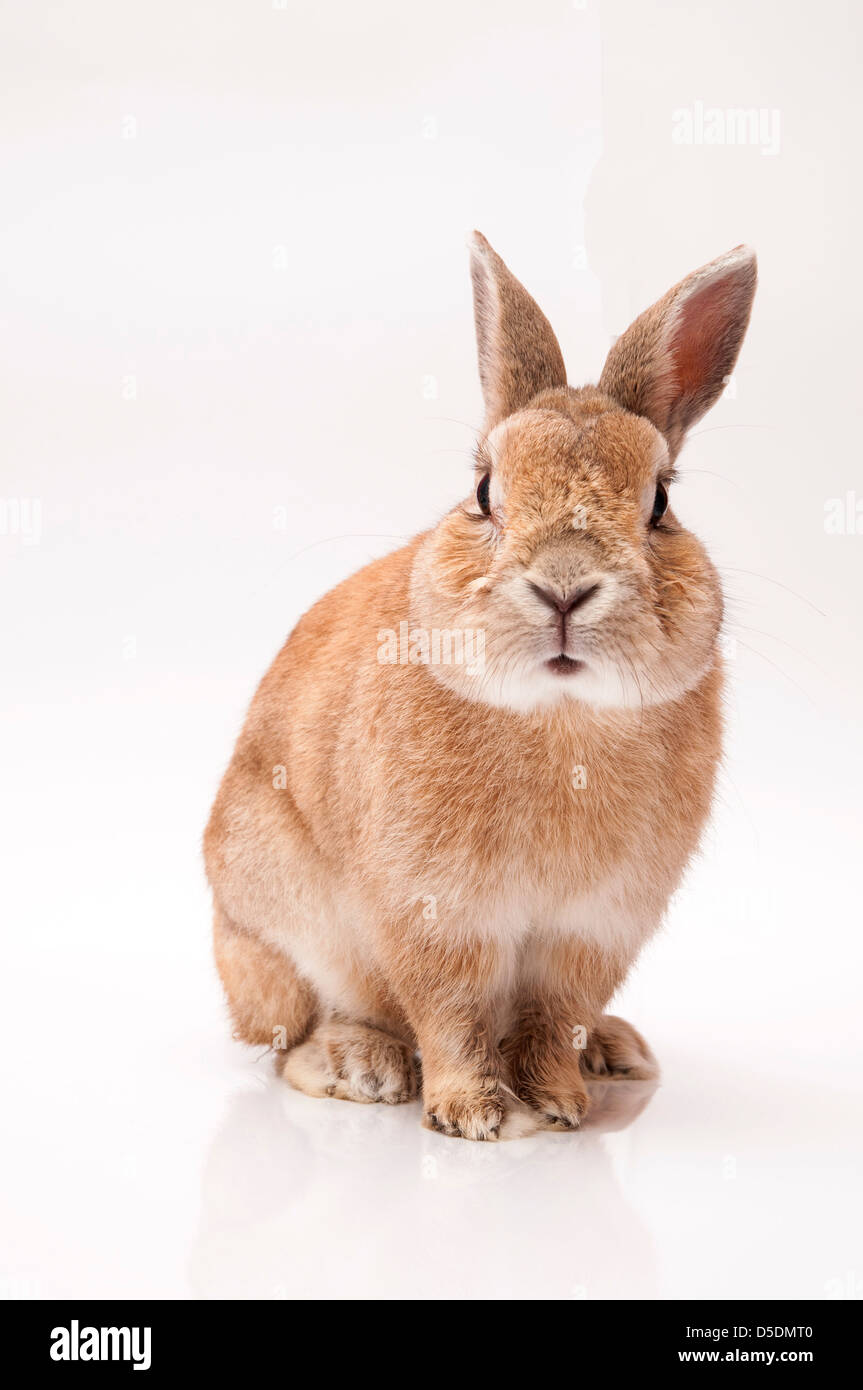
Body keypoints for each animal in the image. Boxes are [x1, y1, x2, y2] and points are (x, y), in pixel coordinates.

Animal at [204, 232, 756, 1140]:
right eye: (482, 491)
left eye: (659, 504)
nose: (563, 587)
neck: (560, 718)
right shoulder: (435, 917)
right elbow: (450, 1015)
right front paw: (474, 1117)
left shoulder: (591, 933)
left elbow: (554, 1019)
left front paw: (559, 1103)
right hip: (275, 931)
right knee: (288, 1038)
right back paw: (363, 1066)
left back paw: (615, 1051)